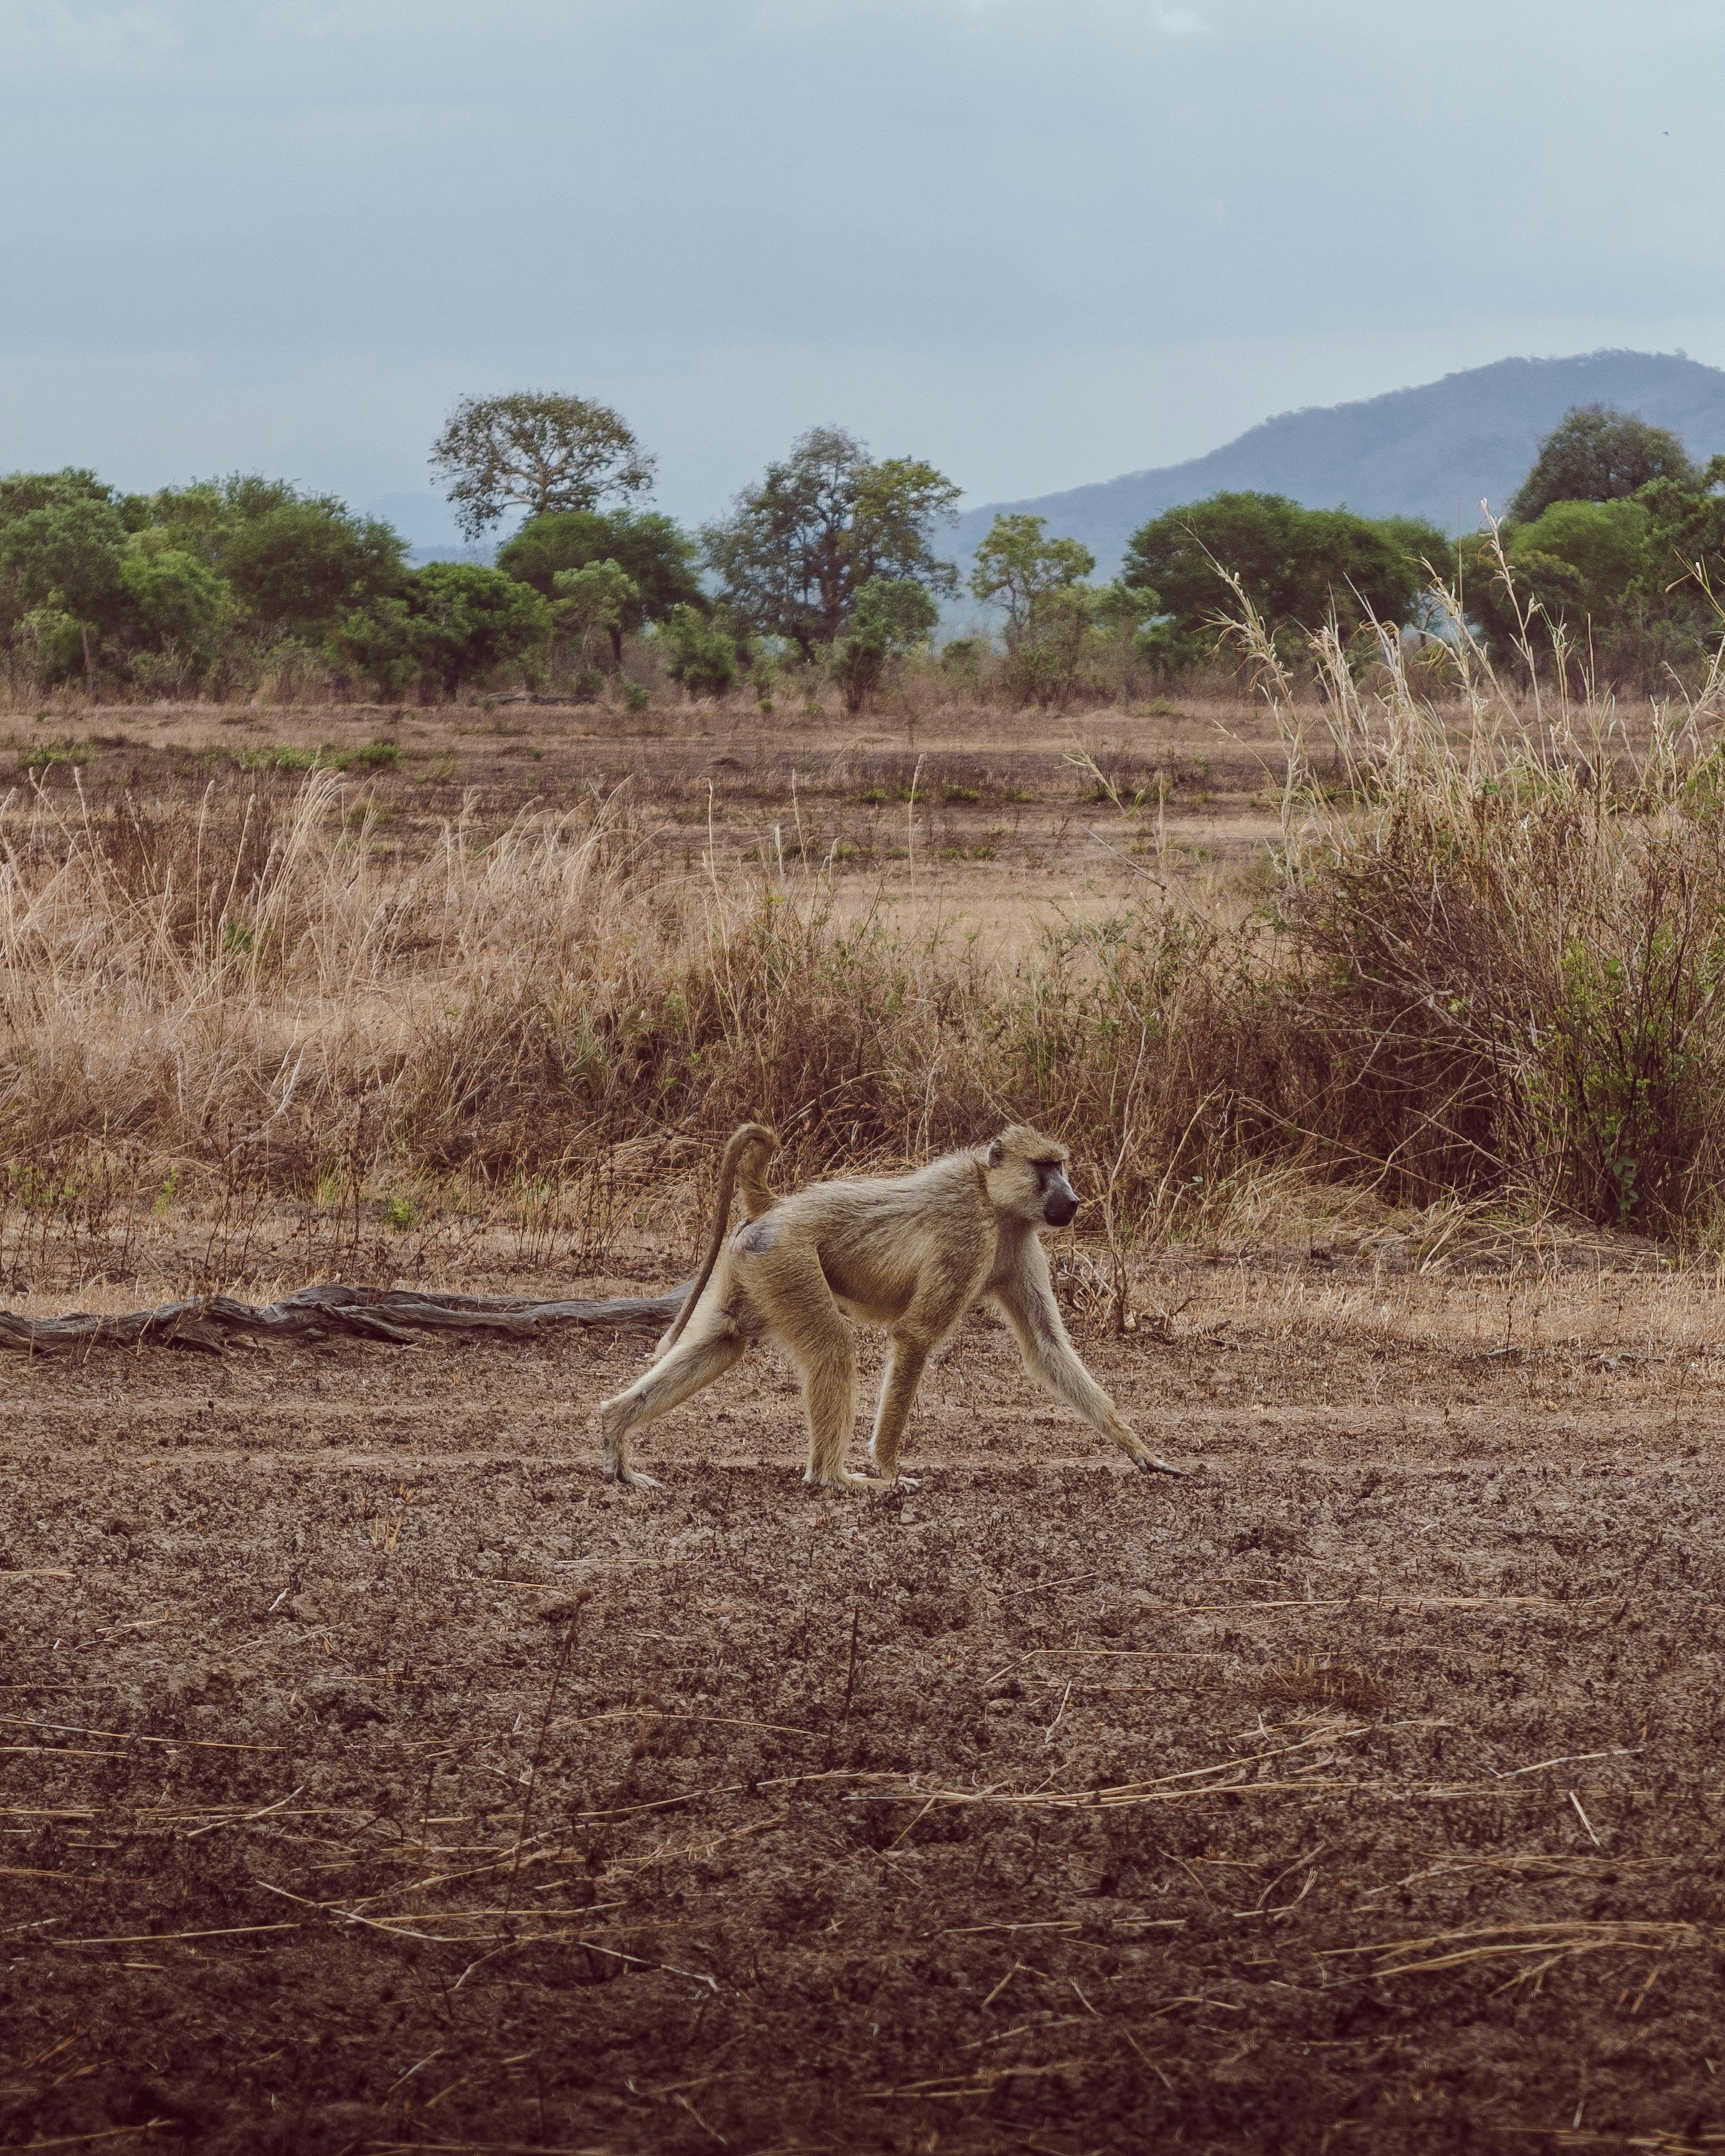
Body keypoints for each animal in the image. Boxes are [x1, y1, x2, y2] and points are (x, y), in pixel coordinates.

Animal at [598, 1122, 1184, 1492]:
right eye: (1047, 1168)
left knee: (726, 1339)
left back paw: (615, 1432)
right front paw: (887, 1469)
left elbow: (1046, 1347)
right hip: (786, 1258)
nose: (1074, 1200)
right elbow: (916, 1336)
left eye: (1061, 1166)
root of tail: (777, 1204)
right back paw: (838, 1479)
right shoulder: (968, 1236)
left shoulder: (1019, 1242)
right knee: (832, 1348)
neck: (993, 1196)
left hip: (754, 1261)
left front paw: (1142, 1452)